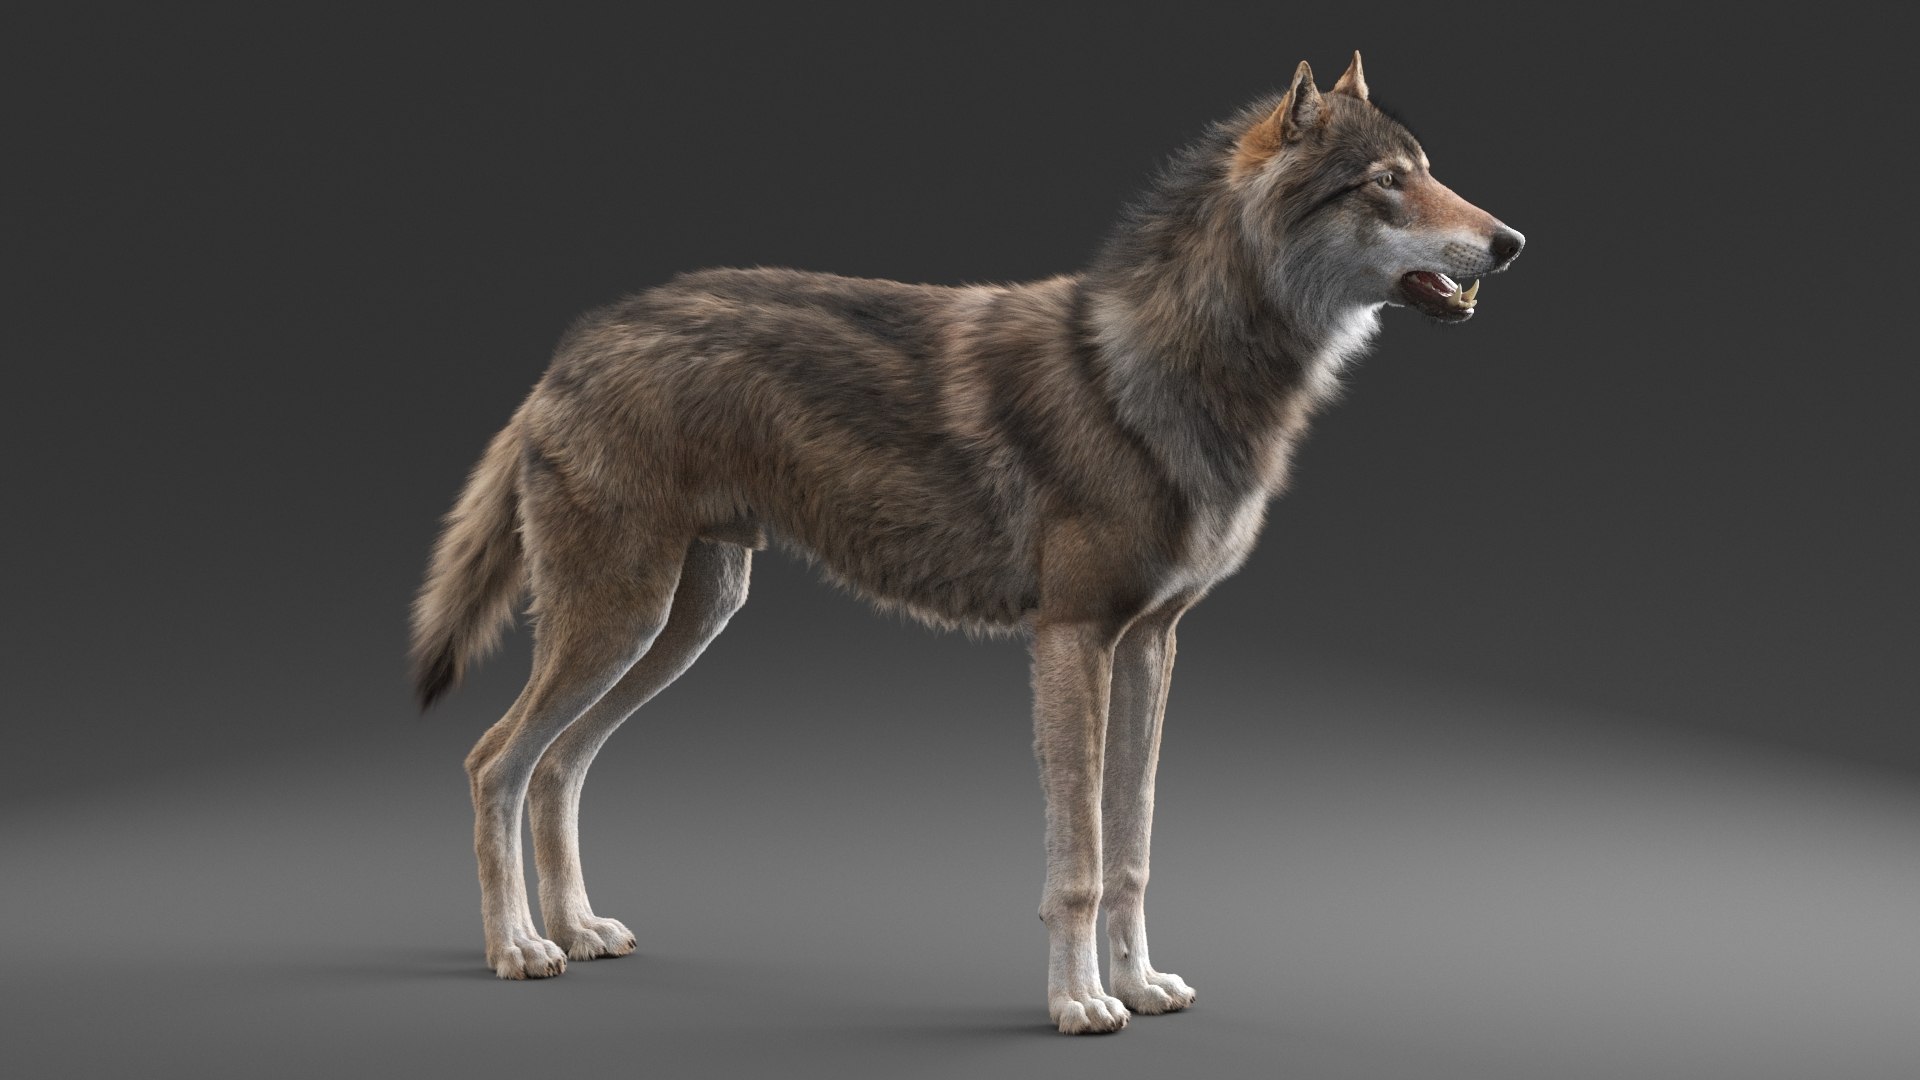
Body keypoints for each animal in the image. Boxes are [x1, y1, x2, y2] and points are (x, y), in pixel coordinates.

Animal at [411, 52, 1523, 1034]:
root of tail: (569, 350)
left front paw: (1141, 985)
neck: (1169, 370)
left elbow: (1132, 849)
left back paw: (580, 929)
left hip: (677, 626)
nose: (1512, 240)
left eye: (1427, 169)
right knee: (494, 762)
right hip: (624, 621)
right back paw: (520, 948)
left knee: (558, 769)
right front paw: (1079, 1005)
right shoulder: (1073, 640)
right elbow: (1079, 864)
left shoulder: (1152, 644)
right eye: (1386, 183)